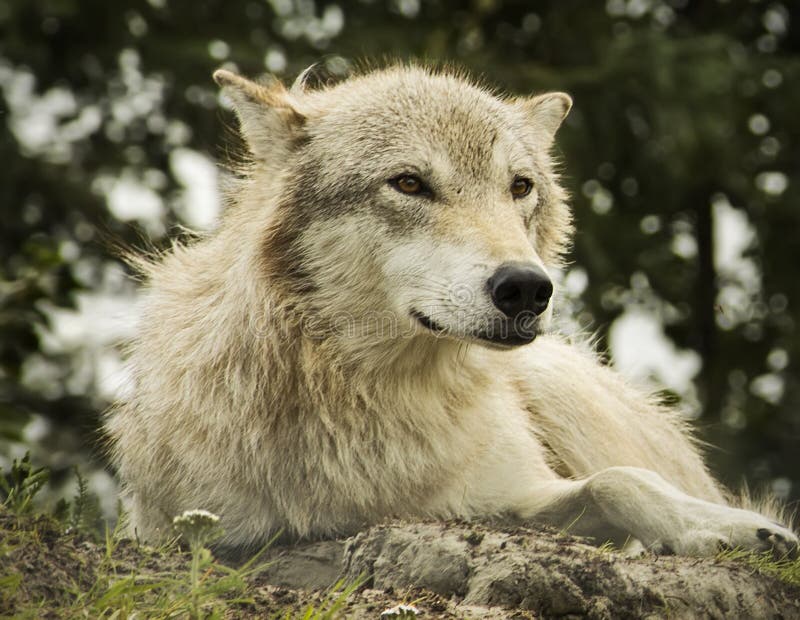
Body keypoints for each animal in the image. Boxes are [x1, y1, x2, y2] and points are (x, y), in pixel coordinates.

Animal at [105, 64, 798, 558]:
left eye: (520, 187)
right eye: (409, 183)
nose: (527, 289)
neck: (378, 400)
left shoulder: (512, 494)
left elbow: (621, 480)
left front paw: (735, 530)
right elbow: (614, 484)